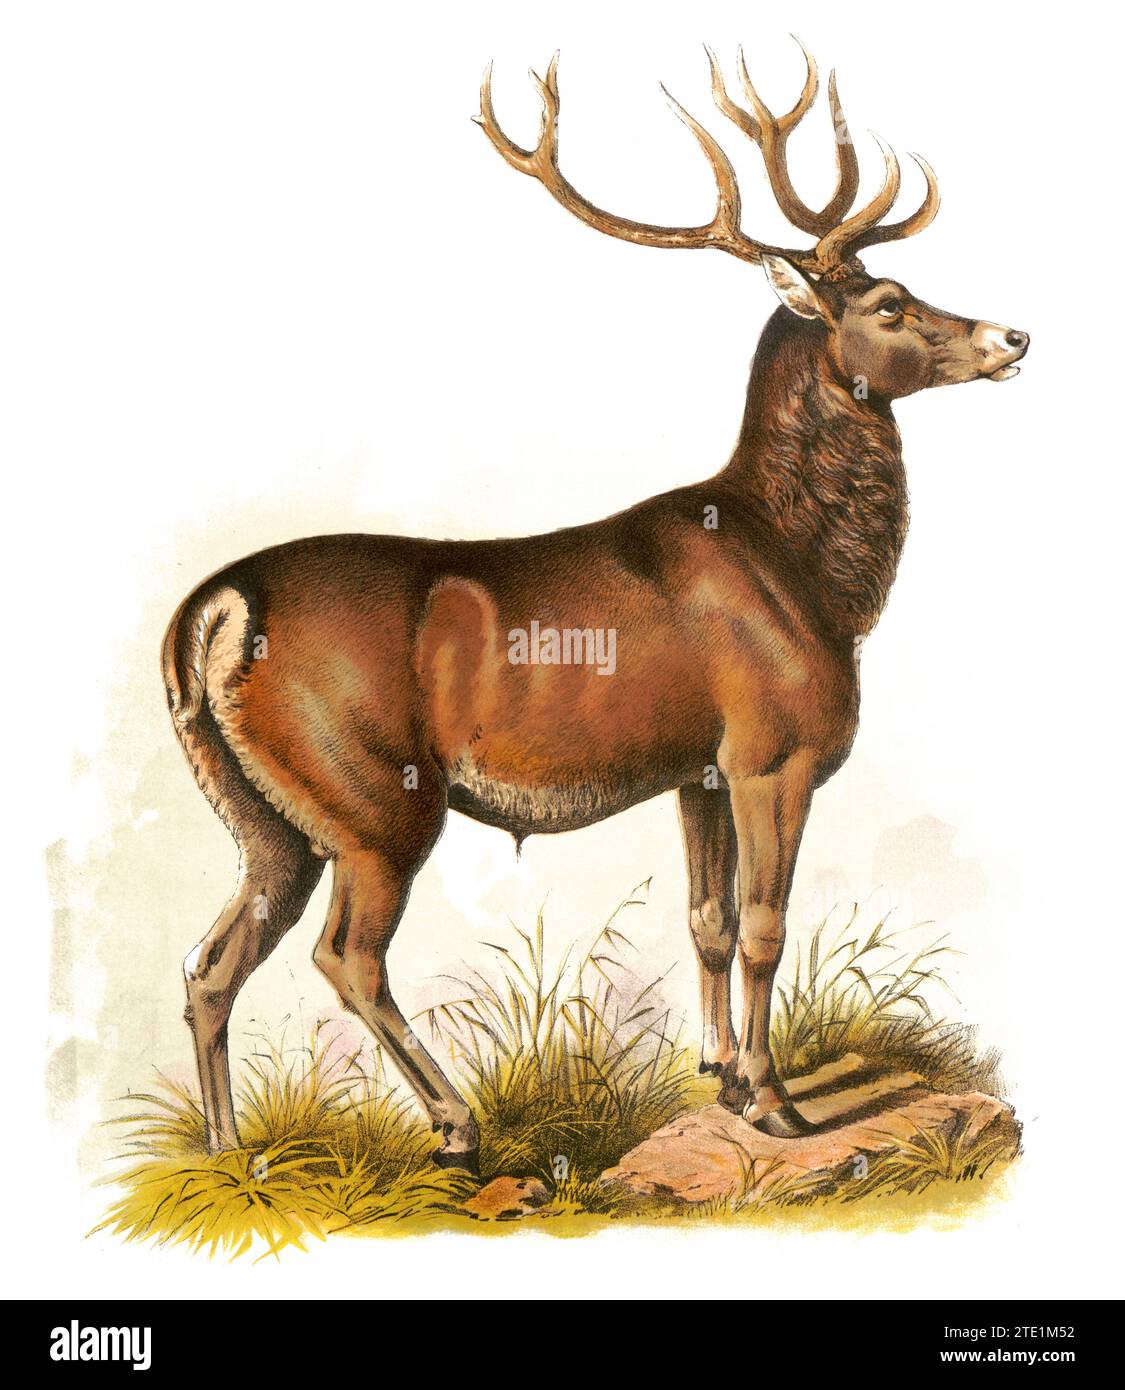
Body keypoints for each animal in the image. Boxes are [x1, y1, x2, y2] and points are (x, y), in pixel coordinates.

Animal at [162, 41, 1028, 1170]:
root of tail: (215, 609)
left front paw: (722, 1077)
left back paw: (227, 1153)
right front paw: (779, 1101)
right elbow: (764, 924)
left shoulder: (698, 770)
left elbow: (707, 920)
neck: (808, 570)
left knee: (211, 960)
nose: (1013, 335)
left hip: (269, 816)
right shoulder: (772, 751)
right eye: (886, 303)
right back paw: (454, 1126)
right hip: (375, 799)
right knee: (344, 956)